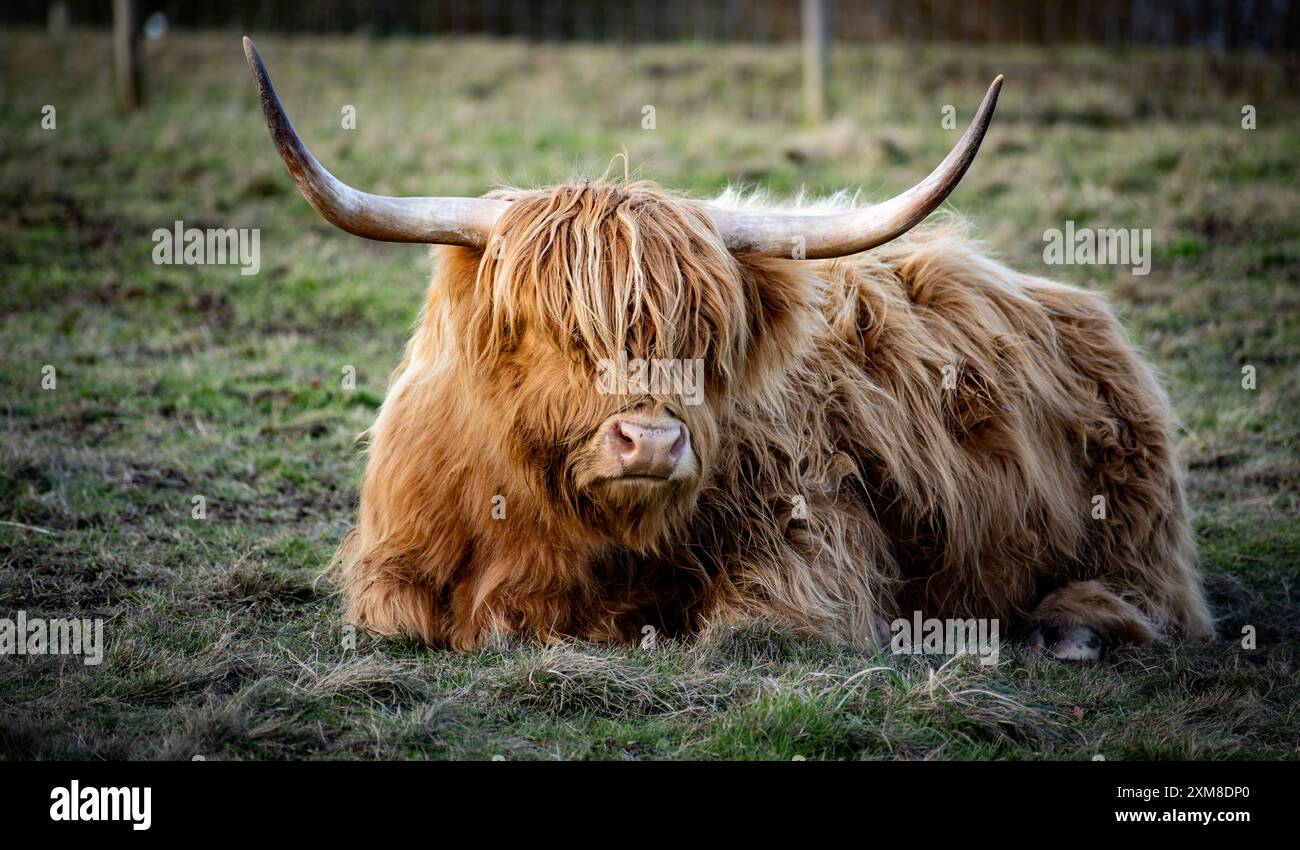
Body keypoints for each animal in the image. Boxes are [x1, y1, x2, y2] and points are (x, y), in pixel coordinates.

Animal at [243, 38, 1213, 659]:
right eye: (557, 330)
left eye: (701, 338)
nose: (652, 441)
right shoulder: (392, 571)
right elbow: (400, 620)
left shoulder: (816, 554)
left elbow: (748, 627)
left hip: (1132, 523)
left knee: (1151, 596)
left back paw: (1071, 628)